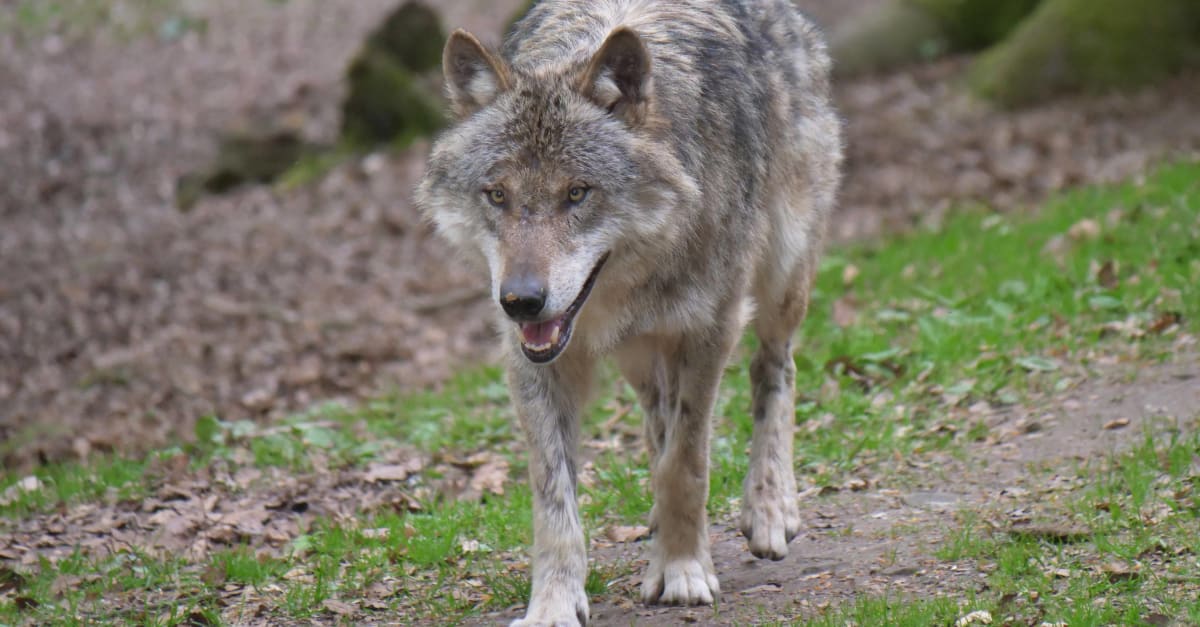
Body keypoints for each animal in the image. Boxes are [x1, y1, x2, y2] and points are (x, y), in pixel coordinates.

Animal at [417, 0, 842, 623]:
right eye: (497, 195)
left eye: (577, 193)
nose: (521, 300)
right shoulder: (534, 361)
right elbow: (554, 496)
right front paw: (554, 602)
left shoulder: (710, 329)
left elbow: (685, 463)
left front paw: (683, 570)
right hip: (639, 356)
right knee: (657, 418)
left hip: (781, 277)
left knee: (774, 369)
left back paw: (768, 508)